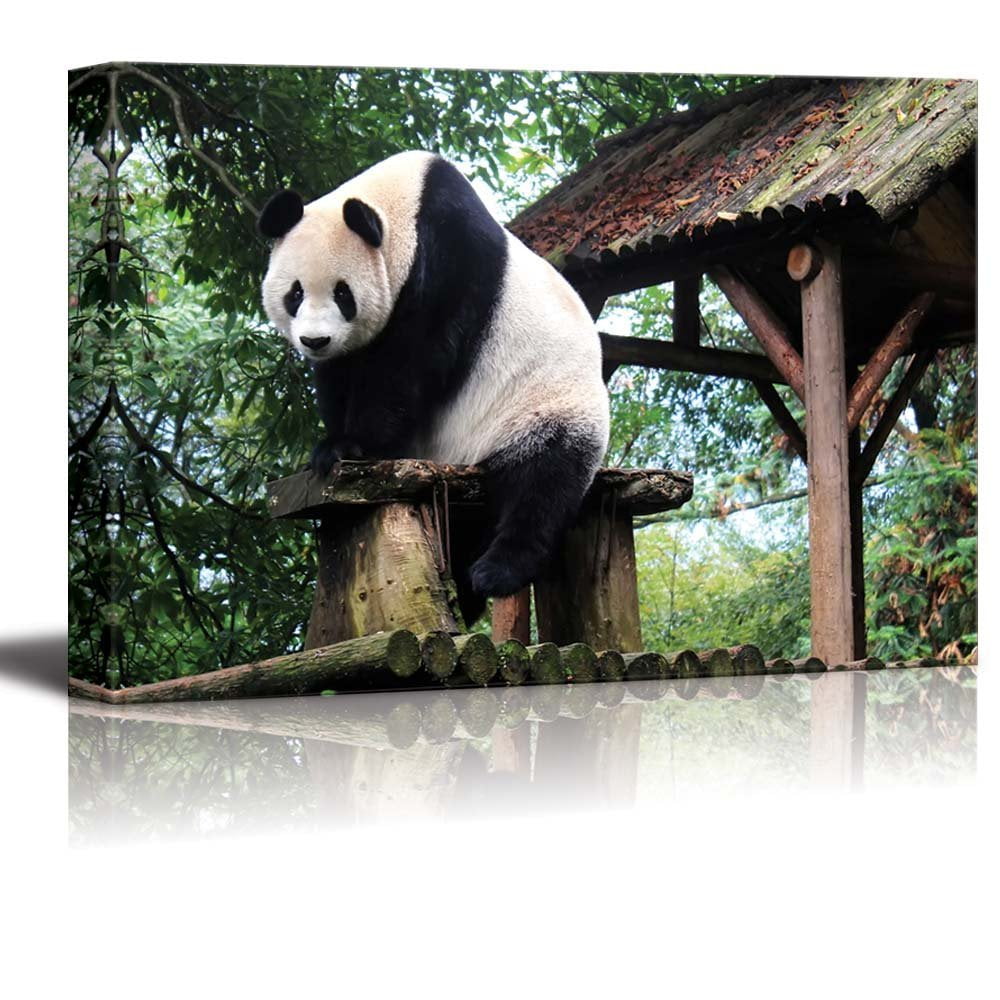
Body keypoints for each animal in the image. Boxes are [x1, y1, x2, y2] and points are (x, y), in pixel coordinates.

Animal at [258, 150, 609, 620]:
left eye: (342, 294)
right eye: (294, 294)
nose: (315, 340)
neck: (403, 201)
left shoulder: (448, 259)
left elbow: (413, 360)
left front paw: (351, 446)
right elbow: (343, 374)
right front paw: (330, 442)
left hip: (546, 403)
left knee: (544, 482)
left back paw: (495, 572)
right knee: (469, 524)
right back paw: (465, 588)